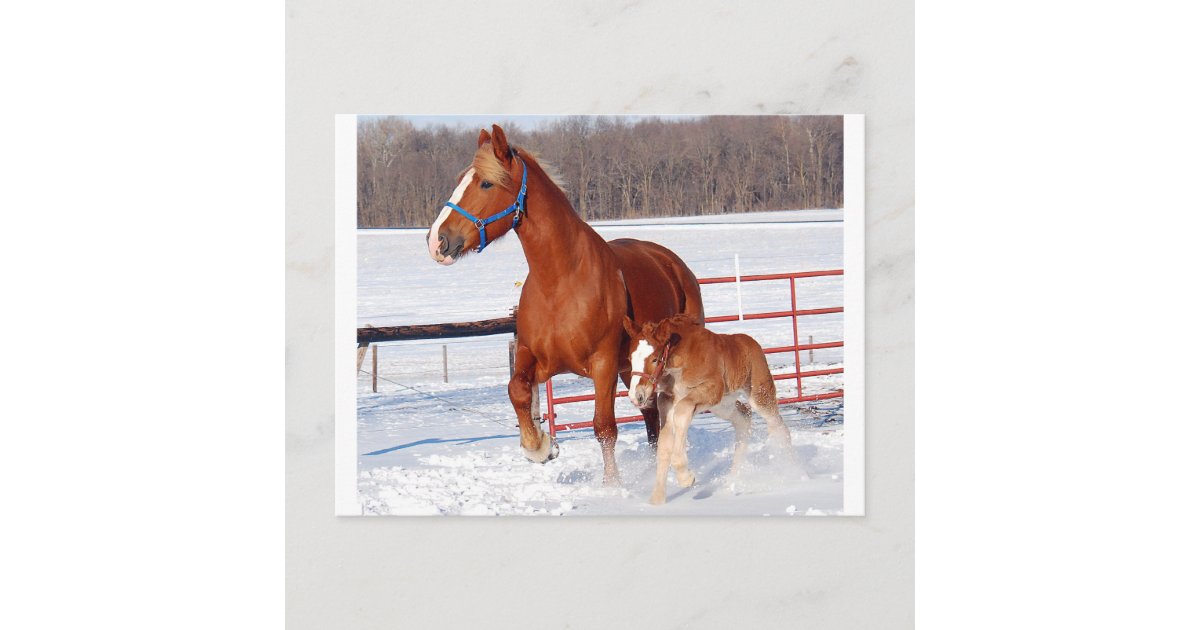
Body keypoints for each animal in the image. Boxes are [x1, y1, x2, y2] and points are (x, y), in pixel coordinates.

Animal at [425, 125, 704, 484]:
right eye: (461, 178)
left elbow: (604, 427)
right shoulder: (534, 357)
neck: (561, 283)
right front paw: (541, 446)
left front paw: (612, 486)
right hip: (635, 369)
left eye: (486, 183)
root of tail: (672, 263)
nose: (437, 241)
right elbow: (517, 389)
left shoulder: (603, 365)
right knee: (651, 414)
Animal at [624, 314, 795, 504]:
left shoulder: (710, 389)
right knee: (744, 417)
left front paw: (686, 478)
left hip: (757, 395)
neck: (681, 361)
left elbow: (681, 413)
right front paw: (657, 499)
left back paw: (794, 472)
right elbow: (664, 446)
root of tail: (752, 344)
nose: (637, 395)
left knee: (778, 426)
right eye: (630, 359)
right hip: (723, 405)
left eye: (654, 359)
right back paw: (732, 480)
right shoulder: (666, 401)